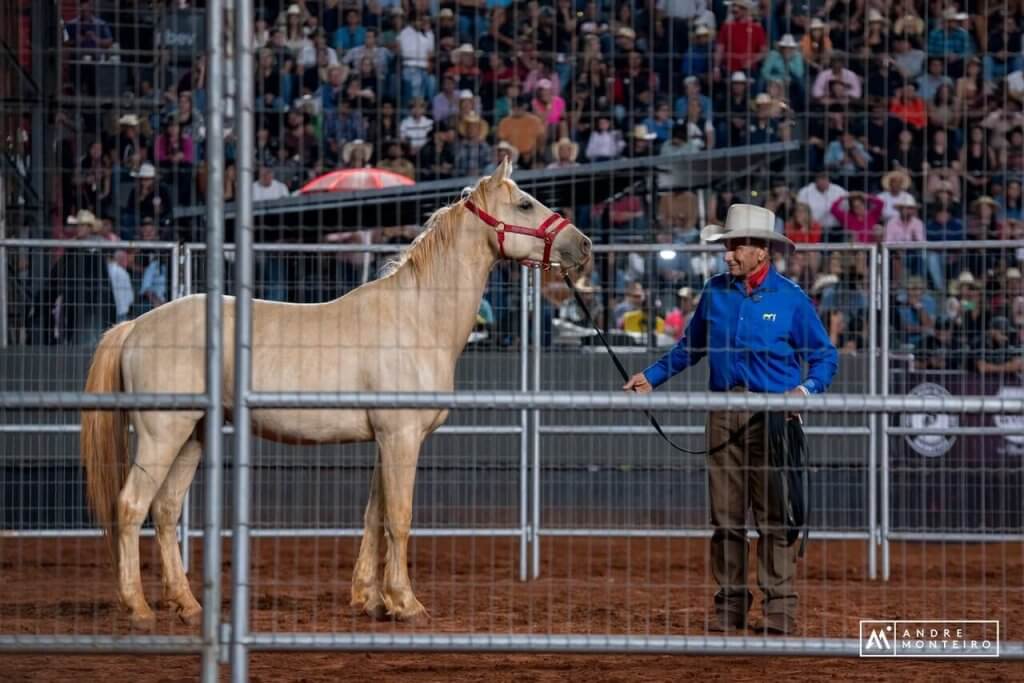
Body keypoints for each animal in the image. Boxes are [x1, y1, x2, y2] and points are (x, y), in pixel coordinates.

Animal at [80, 159, 592, 629]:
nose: (583, 246)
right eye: (524, 203)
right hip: (162, 434)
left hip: (192, 434)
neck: (417, 318)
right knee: (131, 506)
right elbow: (398, 517)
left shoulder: (386, 440)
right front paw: (407, 604)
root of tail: (134, 327)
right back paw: (139, 609)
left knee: (165, 510)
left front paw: (371, 600)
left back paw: (187, 605)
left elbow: (373, 516)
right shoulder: (401, 437)